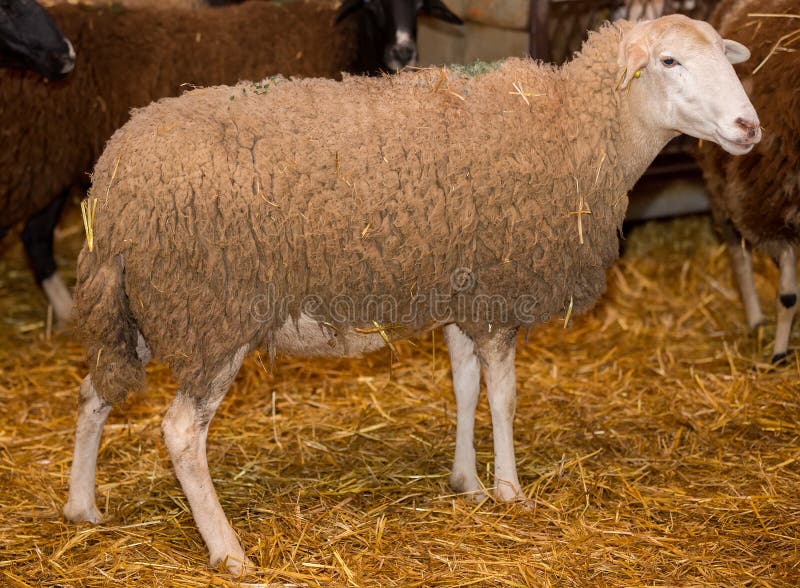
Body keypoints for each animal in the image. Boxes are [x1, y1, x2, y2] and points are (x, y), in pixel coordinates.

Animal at [63, 15, 759, 575]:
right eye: (668, 61)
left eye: (725, 58)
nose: (749, 127)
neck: (579, 127)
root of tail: (114, 181)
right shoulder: (498, 295)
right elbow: (504, 398)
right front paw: (510, 491)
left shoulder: (462, 293)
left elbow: (464, 387)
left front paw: (467, 482)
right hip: (214, 313)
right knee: (181, 432)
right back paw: (227, 550)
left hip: (135, 310)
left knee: (95, 390)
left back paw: (81, 506)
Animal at [695, 0, 800, 364]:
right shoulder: (777, 214)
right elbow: (788, 296)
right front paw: (779, 353)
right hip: (723, 193)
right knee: (738, 256)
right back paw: (755, 320)